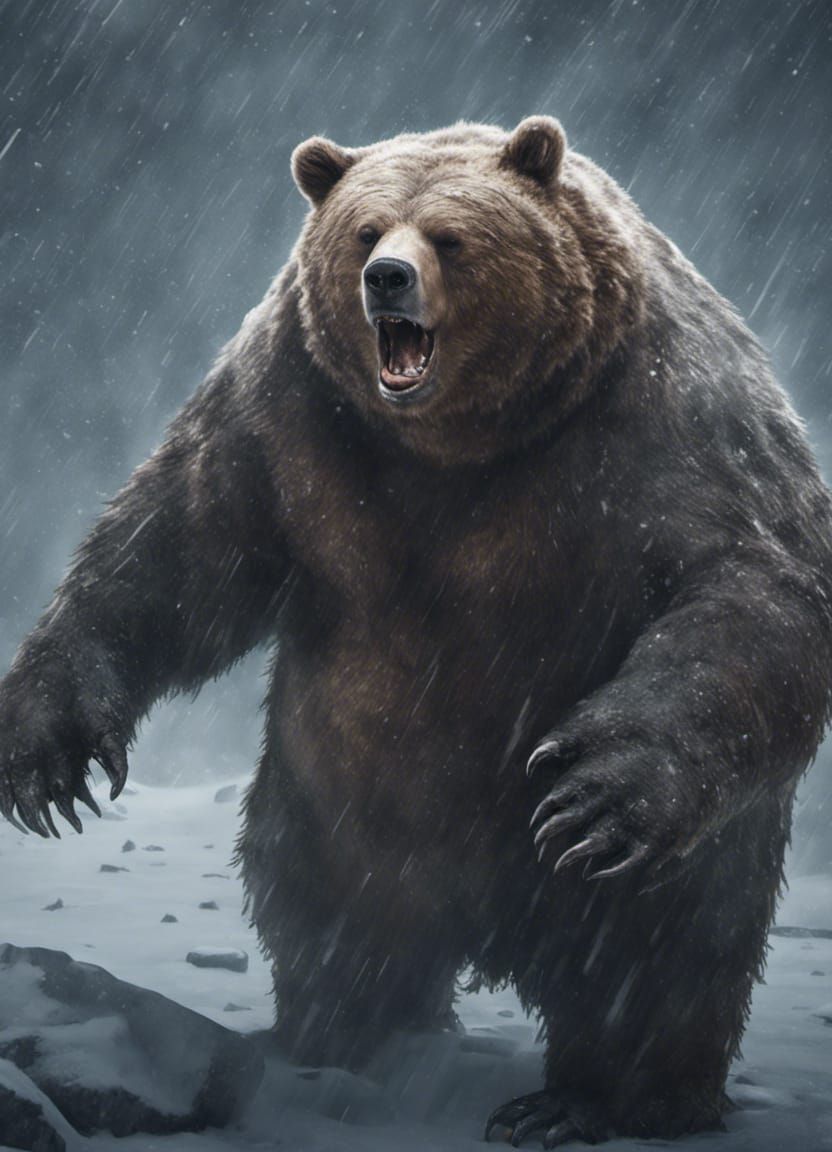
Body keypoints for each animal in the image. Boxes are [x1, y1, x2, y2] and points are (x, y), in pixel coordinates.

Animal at [1, 115, 831, 1147]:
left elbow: (753, 577)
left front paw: (591, 792)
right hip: (332, 806)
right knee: (331, 924)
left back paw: (590, 1102)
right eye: (365, 230)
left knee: (653, 958)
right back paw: (341, 1041)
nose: (386, 279)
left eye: (450, 236)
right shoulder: (293, 408)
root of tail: (492, 940)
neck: (462, 437)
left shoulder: (659, 418)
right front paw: (50, 763)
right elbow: (175, 544)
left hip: (677, 864)